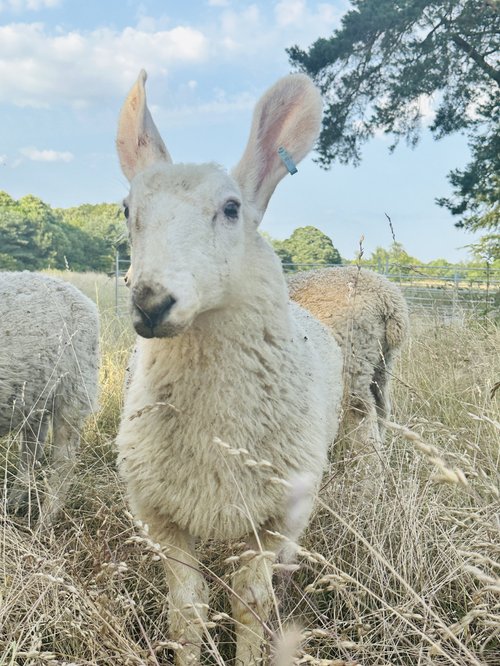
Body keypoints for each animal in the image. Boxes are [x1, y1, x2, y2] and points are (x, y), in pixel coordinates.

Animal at [0, 271, 99, 526]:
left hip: (74, 388)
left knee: (64, 461)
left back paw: (44, 522)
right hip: (35, 396)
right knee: (31, 450)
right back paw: (15, 502)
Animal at [115, 71, 343, 665]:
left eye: (232, 208)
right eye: (127, 209)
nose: (151, 302)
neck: (217, 436)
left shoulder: (271, 517)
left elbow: (249, 607)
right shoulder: (161, 515)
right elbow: (187, 612)